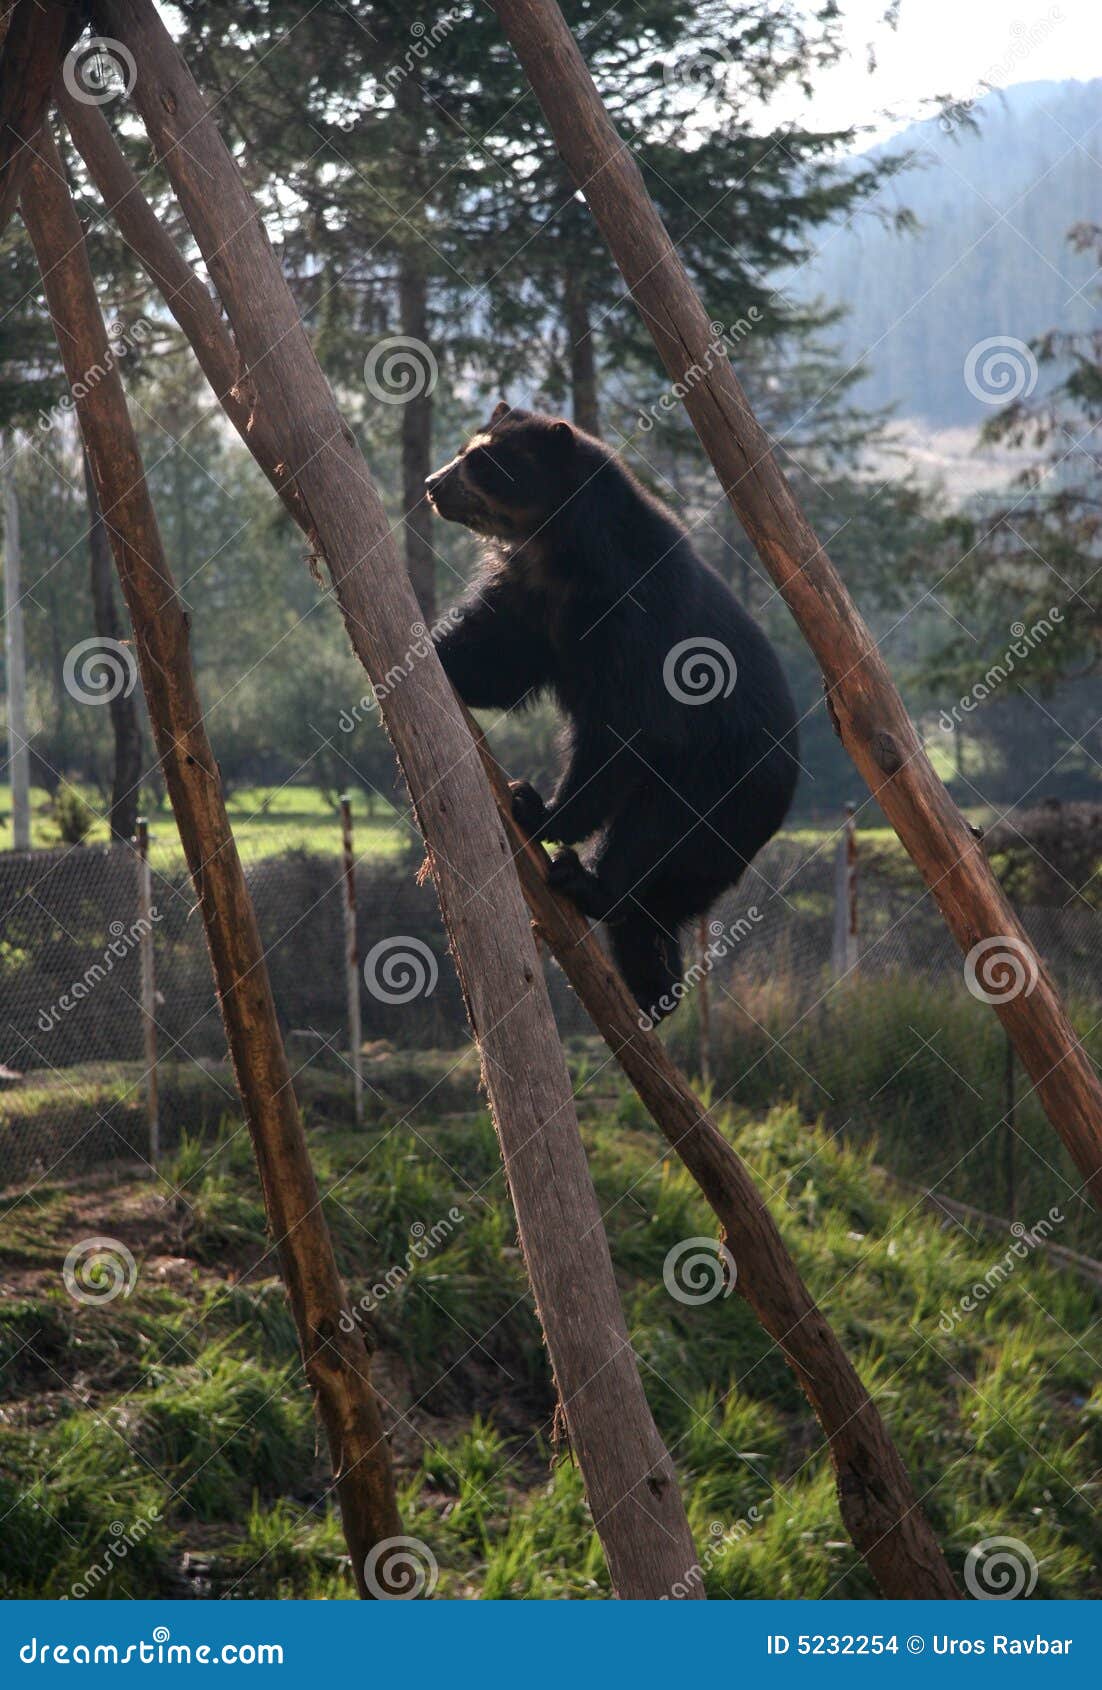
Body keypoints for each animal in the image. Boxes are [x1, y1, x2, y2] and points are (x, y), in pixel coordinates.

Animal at [428, 403, 799, 1023]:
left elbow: (621, 730)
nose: (433, 484)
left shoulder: (636, 624)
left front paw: (539, 808)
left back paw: (587, 884)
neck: (554, 546)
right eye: (463, 449)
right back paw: (654, 985)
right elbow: (495, 659)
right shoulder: (529, 600)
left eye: (484, 461)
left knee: (650, 836)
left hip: (717, 787)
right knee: (665, 897)